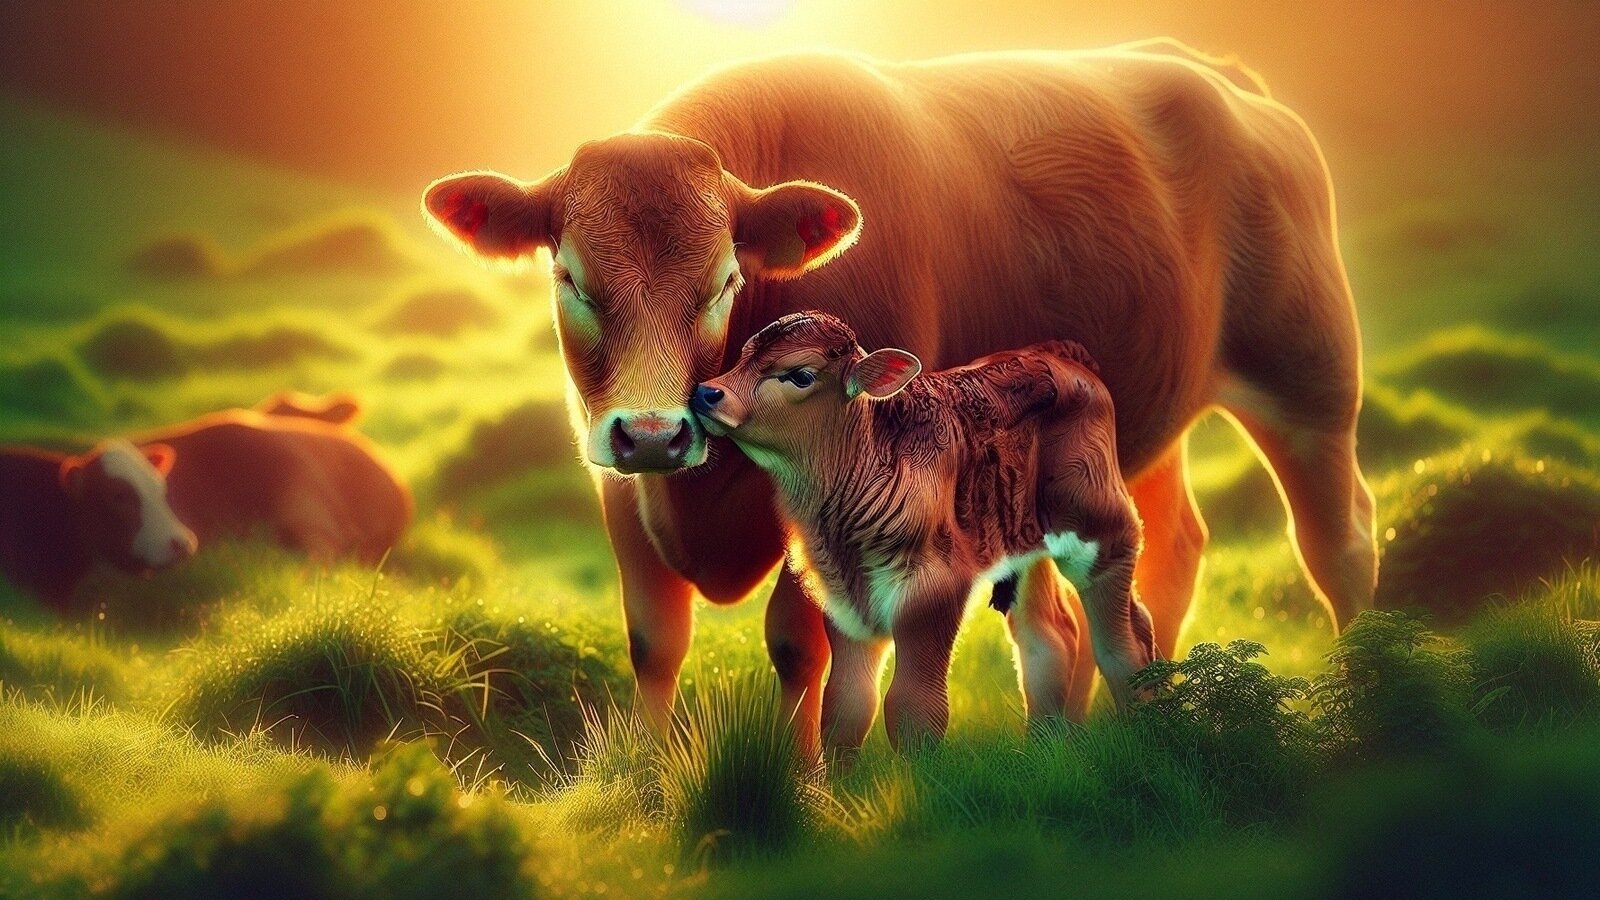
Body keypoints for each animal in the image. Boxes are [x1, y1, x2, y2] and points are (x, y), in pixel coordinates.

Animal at [693, 312, 1153, 748]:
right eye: (742, 355)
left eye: (800, 375)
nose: (705, 393)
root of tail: (1058, 354)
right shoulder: (844, 603)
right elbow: (846, 707)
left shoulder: (932, 590)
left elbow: (914, 708)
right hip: (1023, 547)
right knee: (1051, 637)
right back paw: (1045, 748)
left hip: (1101, 525)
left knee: (1122, 642)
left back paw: (1142, 733)